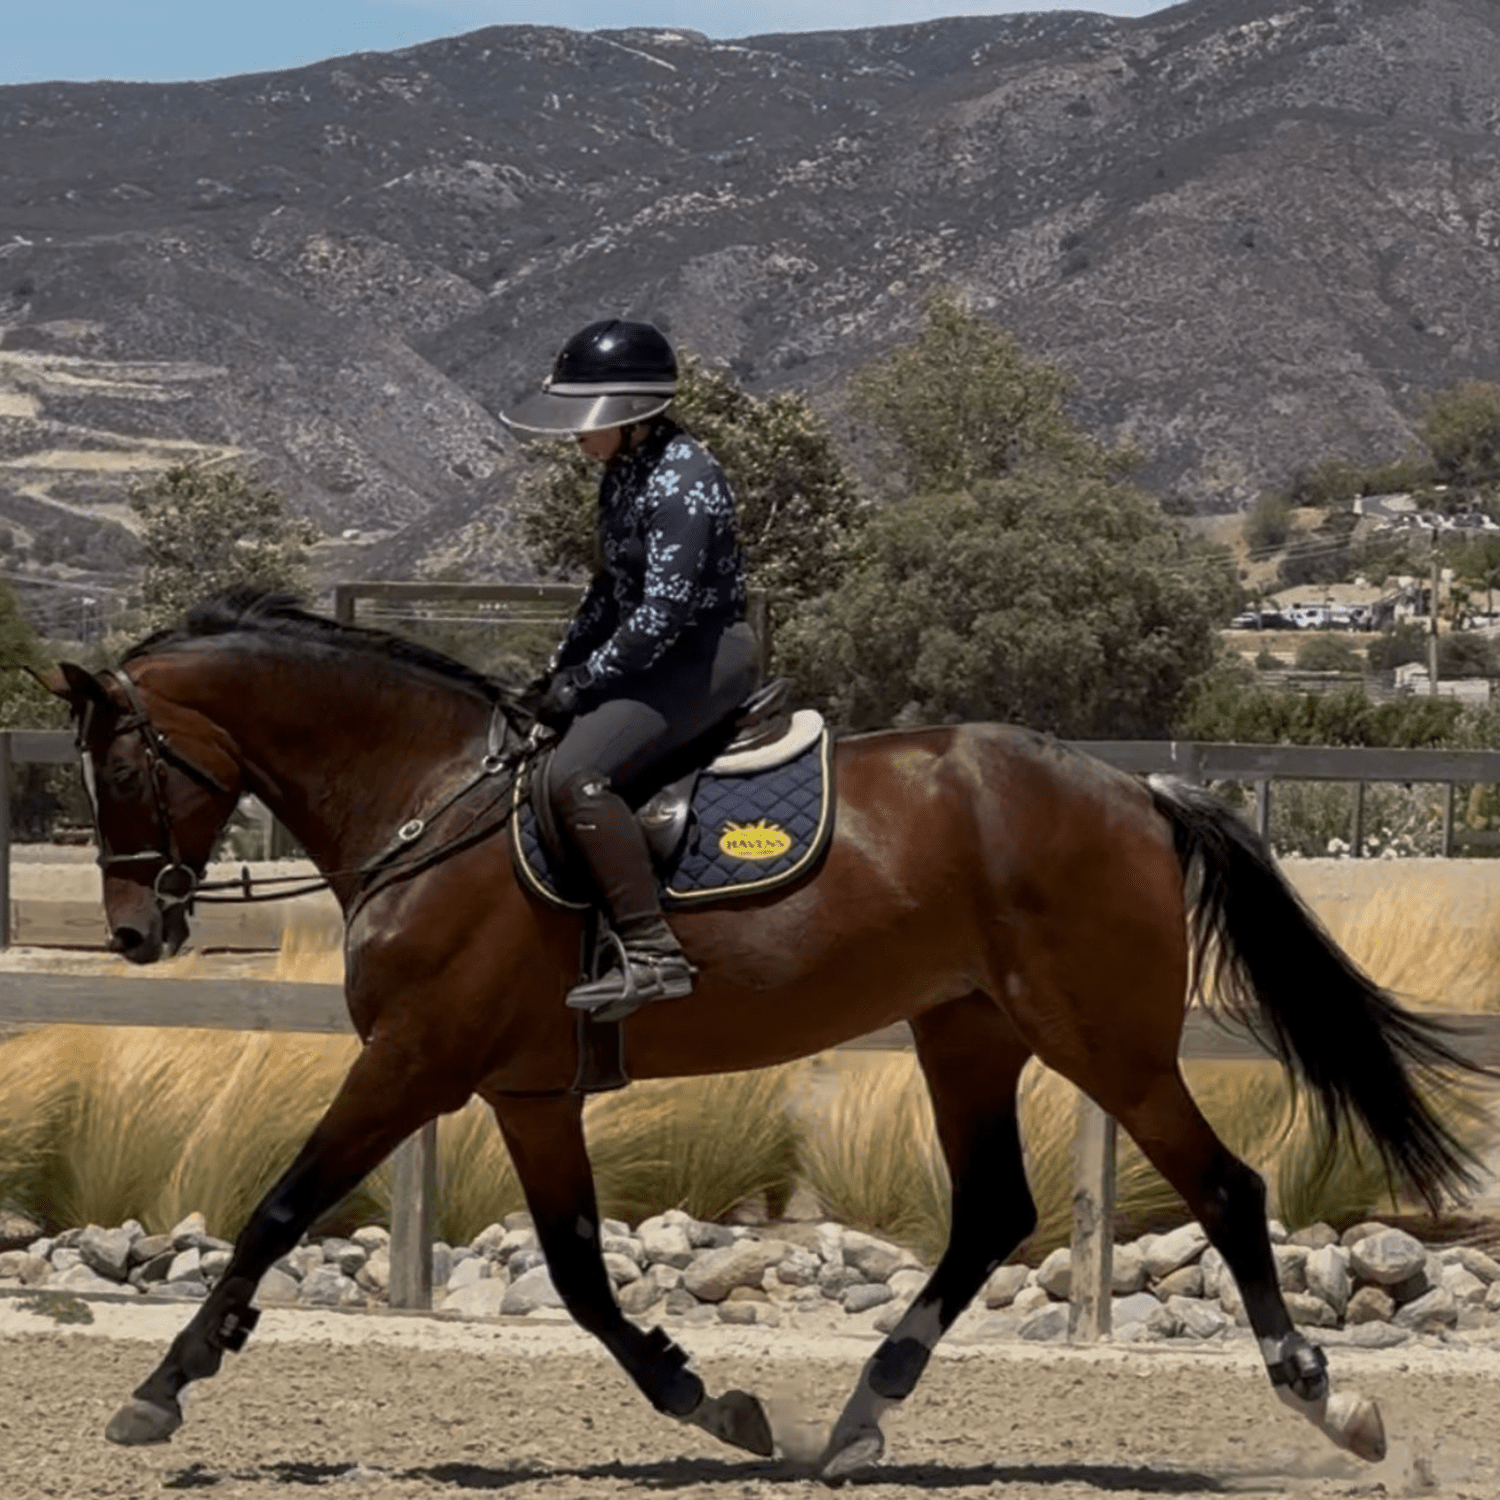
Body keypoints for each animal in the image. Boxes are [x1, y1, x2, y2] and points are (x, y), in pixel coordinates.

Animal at [40, 588, 1486, 1477]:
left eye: (125, 765)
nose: (136, 935)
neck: (431, 804)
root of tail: (1136, 790)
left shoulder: (413, 1063)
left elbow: (281, 1208)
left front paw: (163, 1386)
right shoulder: (525, 1092)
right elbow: (578, 1274)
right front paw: (717, 1405)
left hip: (1105, 1041)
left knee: (1225, 1188)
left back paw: (1332, 1401)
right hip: (967, 1032)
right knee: (991, 1213)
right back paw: (852, 1421)